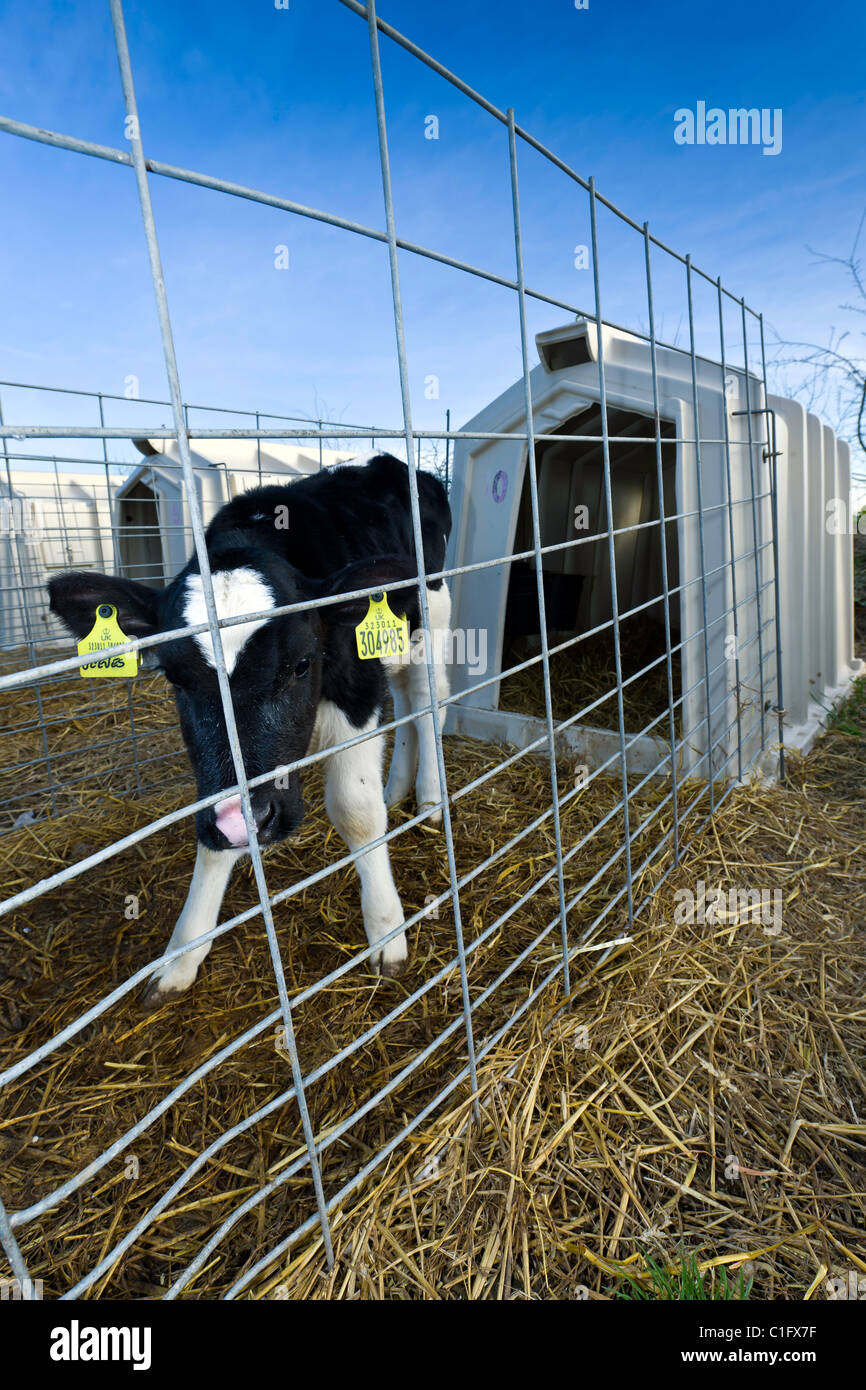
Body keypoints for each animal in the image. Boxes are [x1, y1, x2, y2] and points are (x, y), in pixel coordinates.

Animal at [48, 454, 452, 1005]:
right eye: (175, 678)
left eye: (302, 664)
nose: (246, 821)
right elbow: (211, 841)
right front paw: (181, 957)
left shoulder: (356, 687)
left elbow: (356, 811)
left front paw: (387, 930)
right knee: (408, 702)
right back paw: (397, 790)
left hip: (430, 620)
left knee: (430, 700)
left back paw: (429, 798)